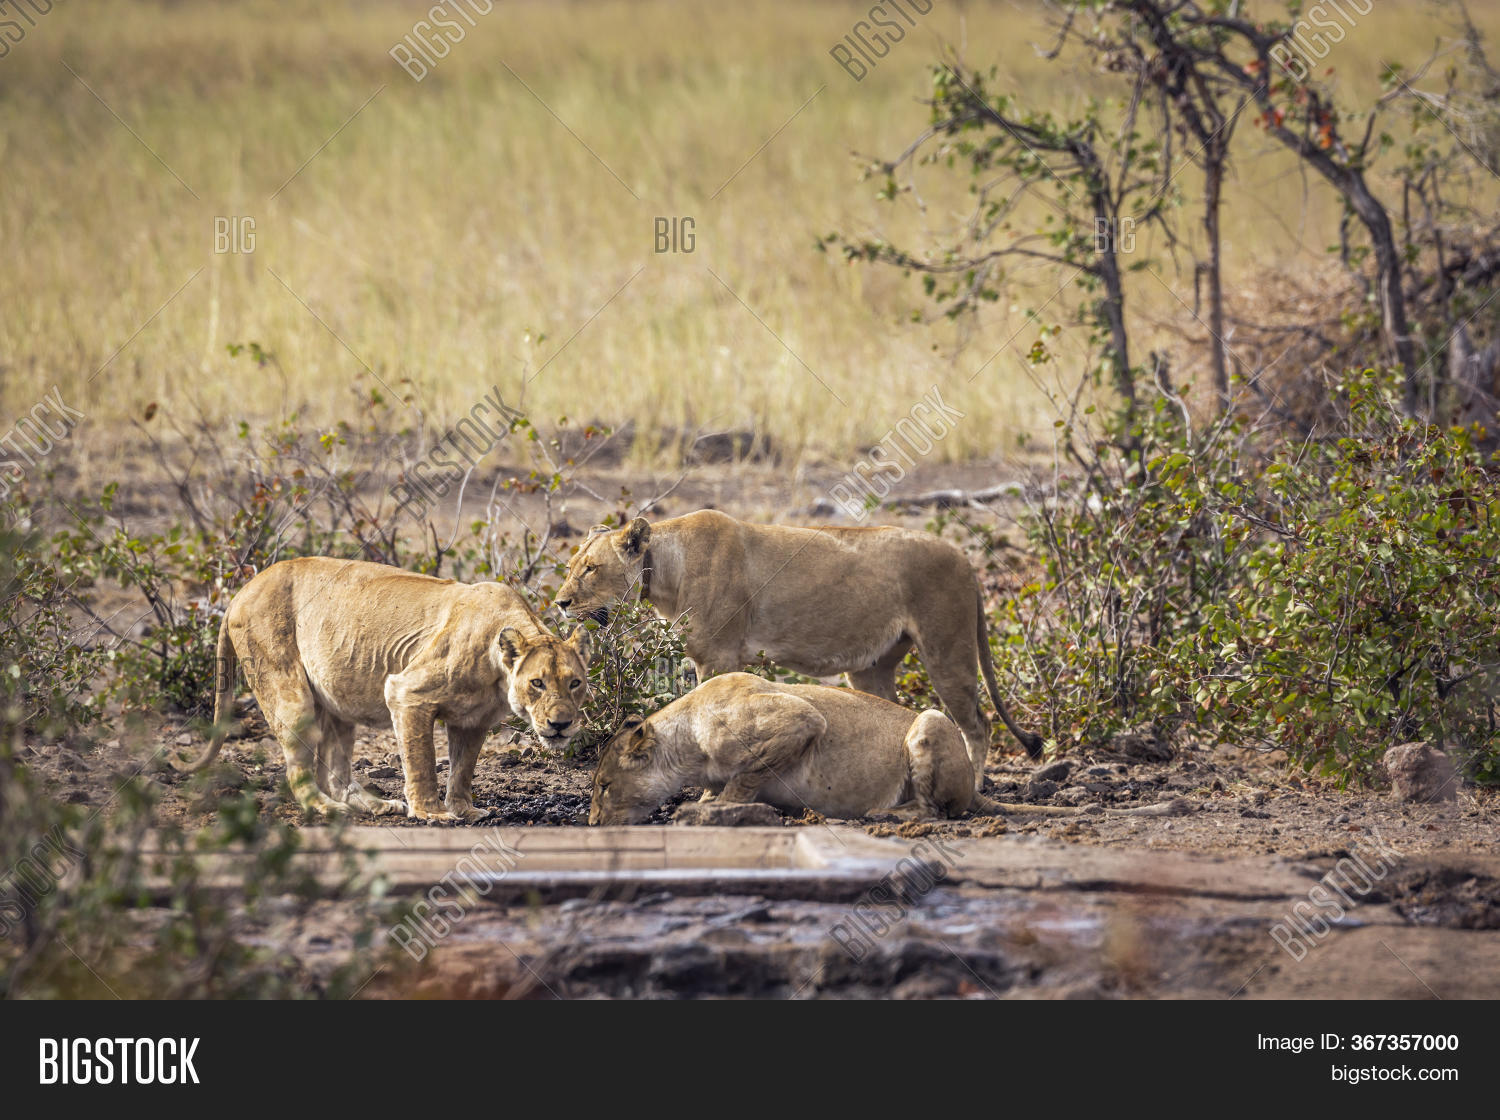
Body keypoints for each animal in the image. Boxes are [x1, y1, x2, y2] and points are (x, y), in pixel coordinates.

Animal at [174, 557, 592, 821]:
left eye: (575, 683)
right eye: (537, 683)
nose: (560, 725)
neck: (497, 673)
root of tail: (241, 592)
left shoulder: (472, 722)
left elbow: (462, 769)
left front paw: (465, 810)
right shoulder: (407, 693)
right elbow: (421, 761)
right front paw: (433, 813)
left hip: (335, 705)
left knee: (335, 774)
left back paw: (376, 806)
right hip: (288, 692)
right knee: (300, 774)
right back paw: (329, 810)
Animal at [555, 509, 1041, 793]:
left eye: (591, 568)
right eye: (571, 567)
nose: (559, 603)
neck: (665, 571)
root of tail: (965, 558)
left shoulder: (719, 657)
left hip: (946, 648)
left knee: (978, 723)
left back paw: (974, 785)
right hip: (872, 666)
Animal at [589, 673, 974, 824]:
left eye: (605, 786)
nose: (592, 823)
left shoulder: (802, 719)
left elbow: (745, 777)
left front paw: (717, 808)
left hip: (932, 719)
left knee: (934, 810)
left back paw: (883, 814)